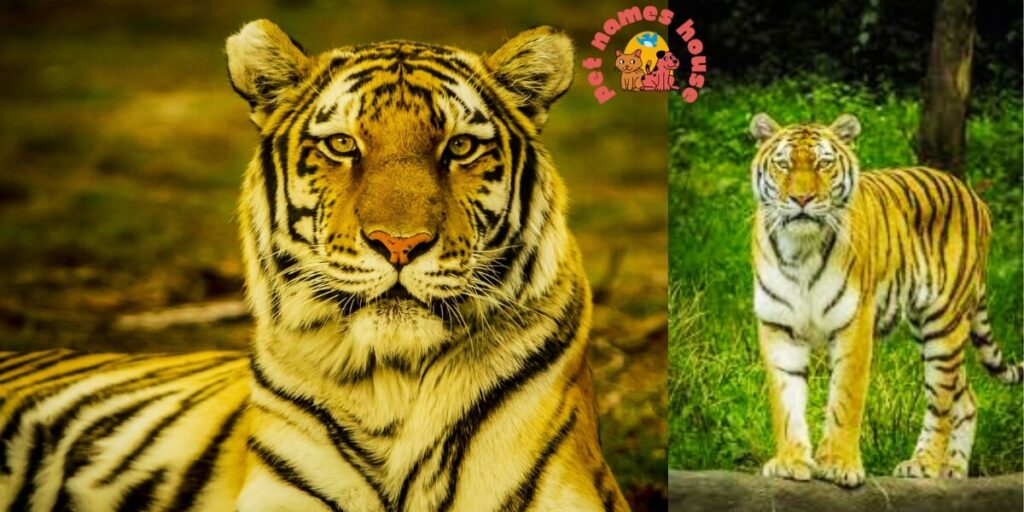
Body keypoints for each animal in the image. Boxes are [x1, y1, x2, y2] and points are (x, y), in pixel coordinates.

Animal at [747, 112, 1022, 488]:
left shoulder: (853, 325)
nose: (801, 199)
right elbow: (785, 401)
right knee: (965, 398)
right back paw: (953, 471)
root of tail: (972, 194)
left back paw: (923, 465)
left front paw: (840, 465)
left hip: (943, 324)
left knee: (941, 401)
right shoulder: (778, 326)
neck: (800, 250)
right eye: (784, 164)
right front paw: (791, 462)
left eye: (823, 163)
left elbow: (845, 400)